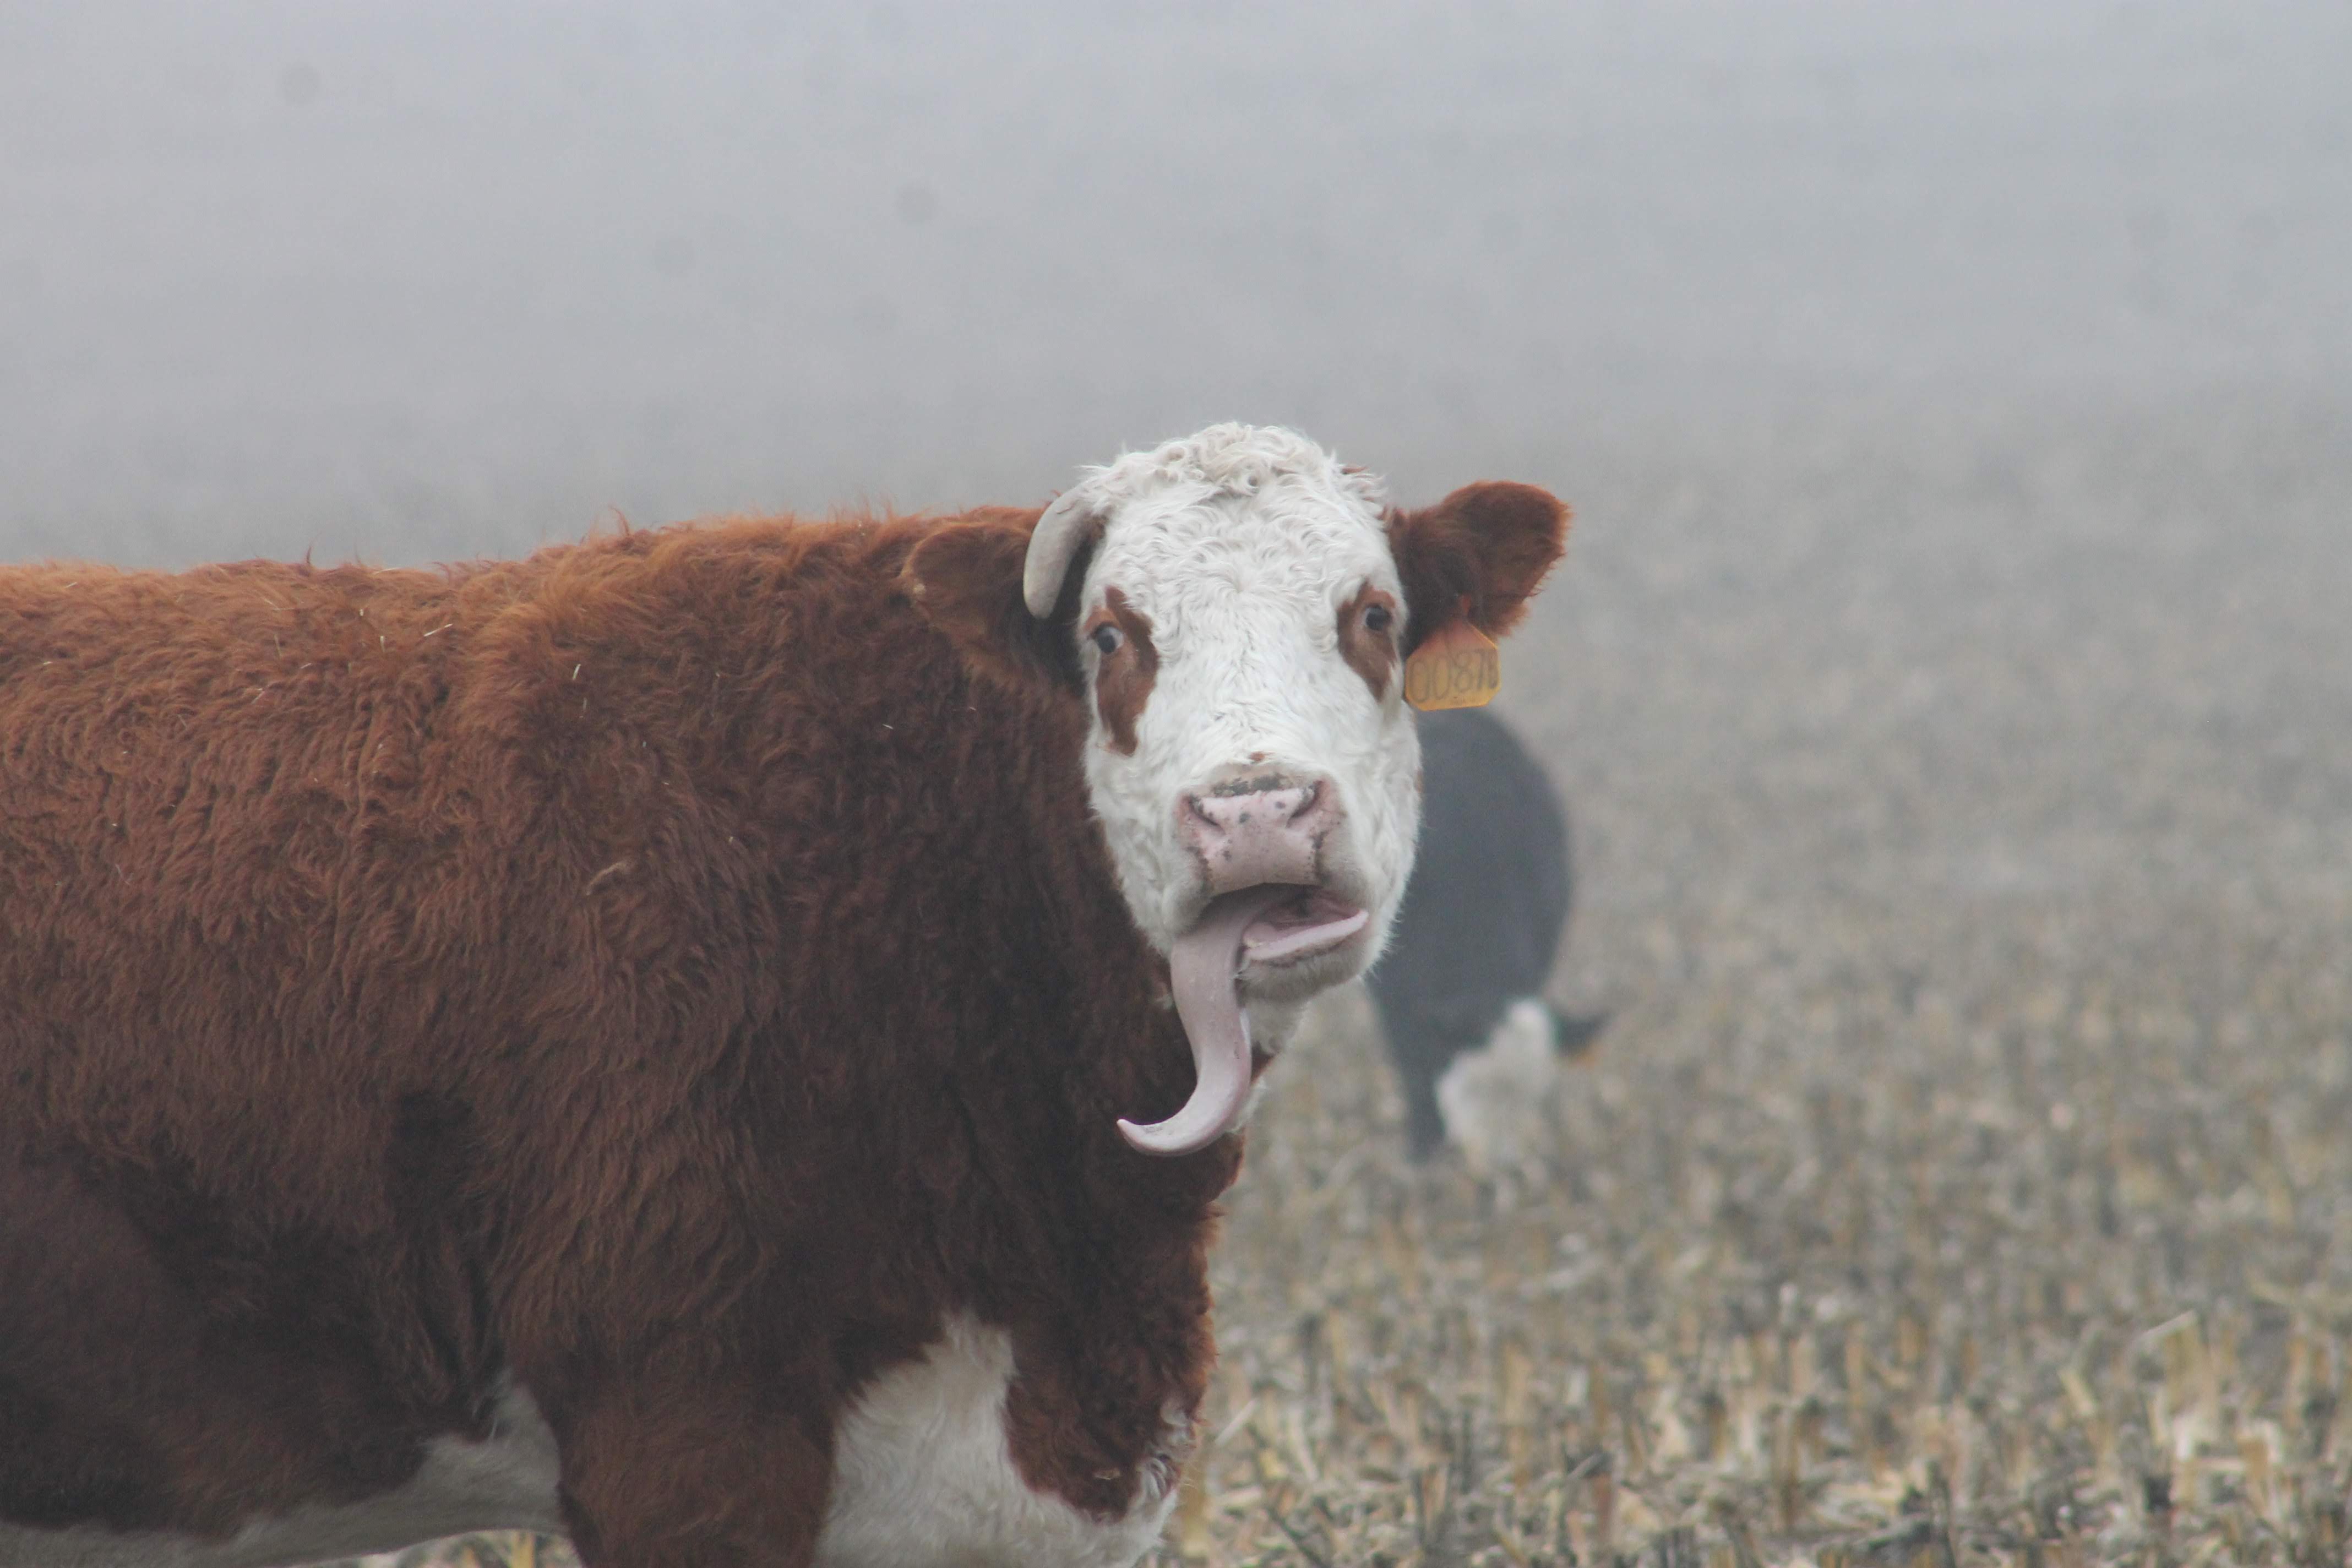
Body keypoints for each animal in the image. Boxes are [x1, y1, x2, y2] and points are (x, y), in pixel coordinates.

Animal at [1363, 706, 1605, 1166]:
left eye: (1535, 1096)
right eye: (1470, 1088)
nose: (1492, 1165)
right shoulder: (1396, 997)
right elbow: (1412, 1066)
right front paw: (1422, 1146)